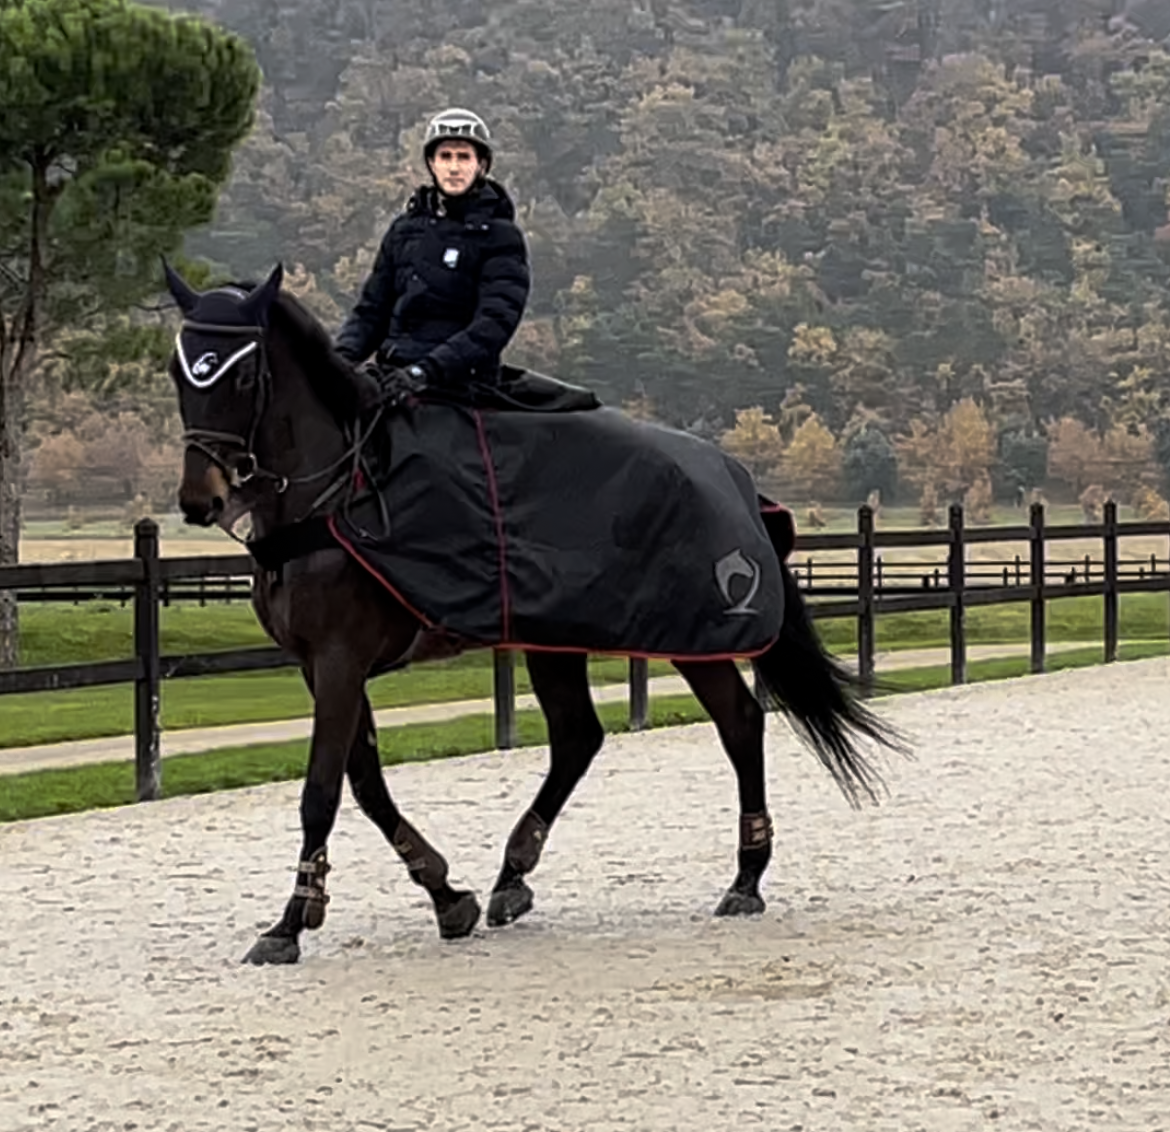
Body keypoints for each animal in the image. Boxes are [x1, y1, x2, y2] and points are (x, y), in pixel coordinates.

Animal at [163, 263, 902, 966]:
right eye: (179, 370)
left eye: (244, 372)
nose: (201, 499)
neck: (334, 493)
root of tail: (735, 476)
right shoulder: (321, 666)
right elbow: (368, 784)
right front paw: (445, 894)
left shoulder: (342, 660)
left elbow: (321, 792)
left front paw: (289, 924)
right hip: (558, 638)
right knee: (581, 737)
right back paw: (513, 875)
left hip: (695, 636)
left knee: (738, 724)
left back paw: (745, 878)